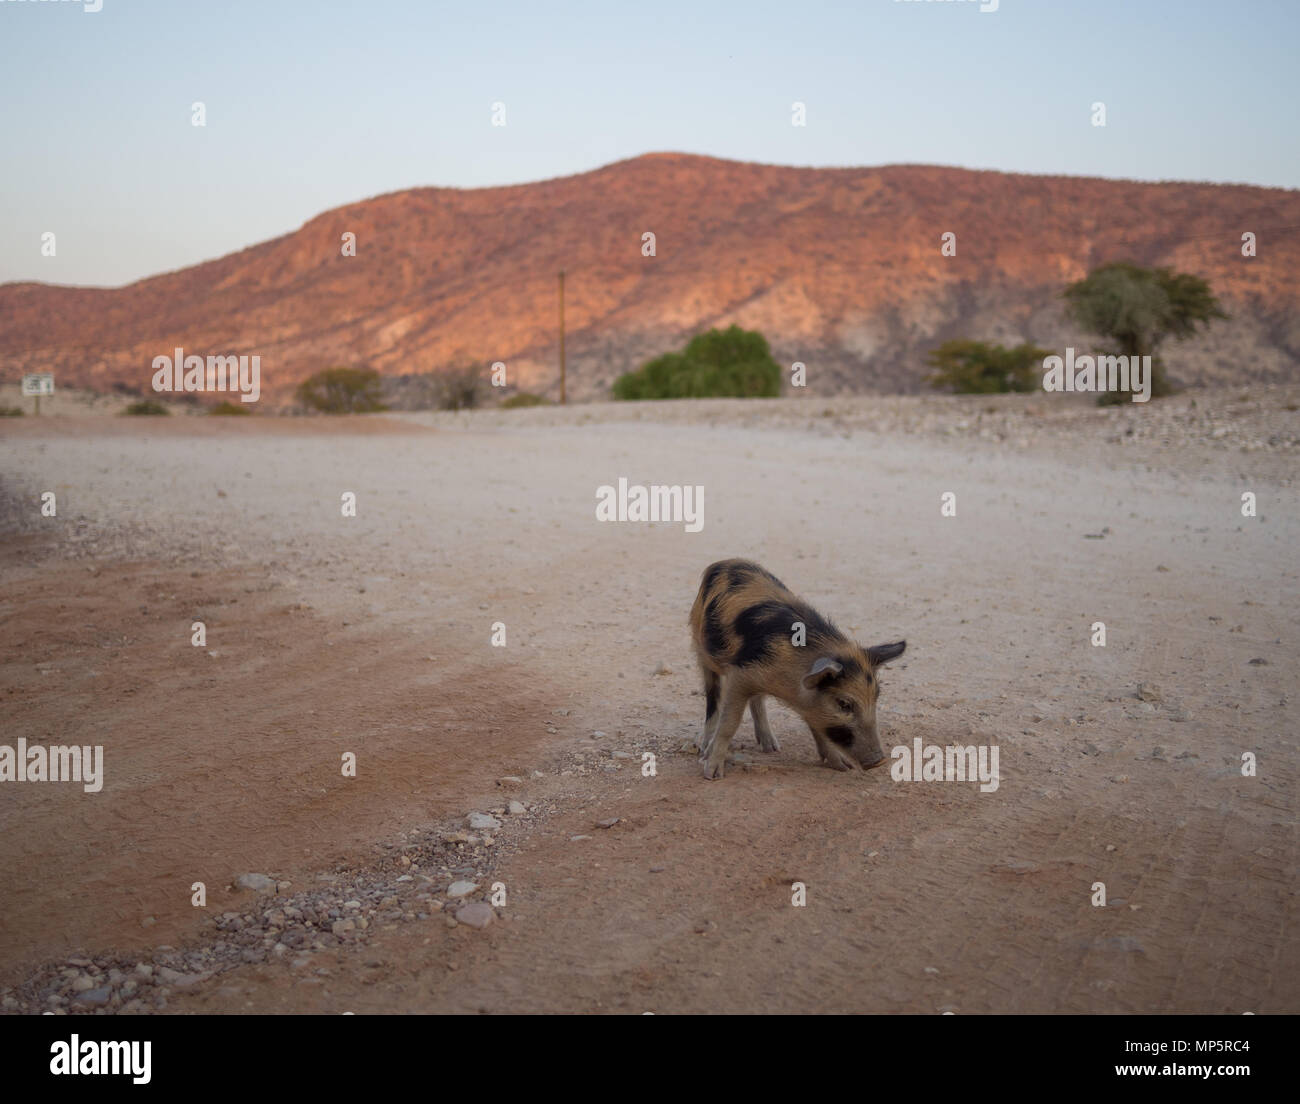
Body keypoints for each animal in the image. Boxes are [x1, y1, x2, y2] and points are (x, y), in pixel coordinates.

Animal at [689, 558, 906, 780]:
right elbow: (729, 723)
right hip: (701, 650)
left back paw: (771, 747)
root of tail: (725, 562)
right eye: (844, 703)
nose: (880, 760)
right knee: (713, 698)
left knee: (757, 699)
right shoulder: (739, 675)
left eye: (876, 698)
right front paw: (711, 773)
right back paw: (704, 747)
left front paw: (842, 766)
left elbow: (817, 725)